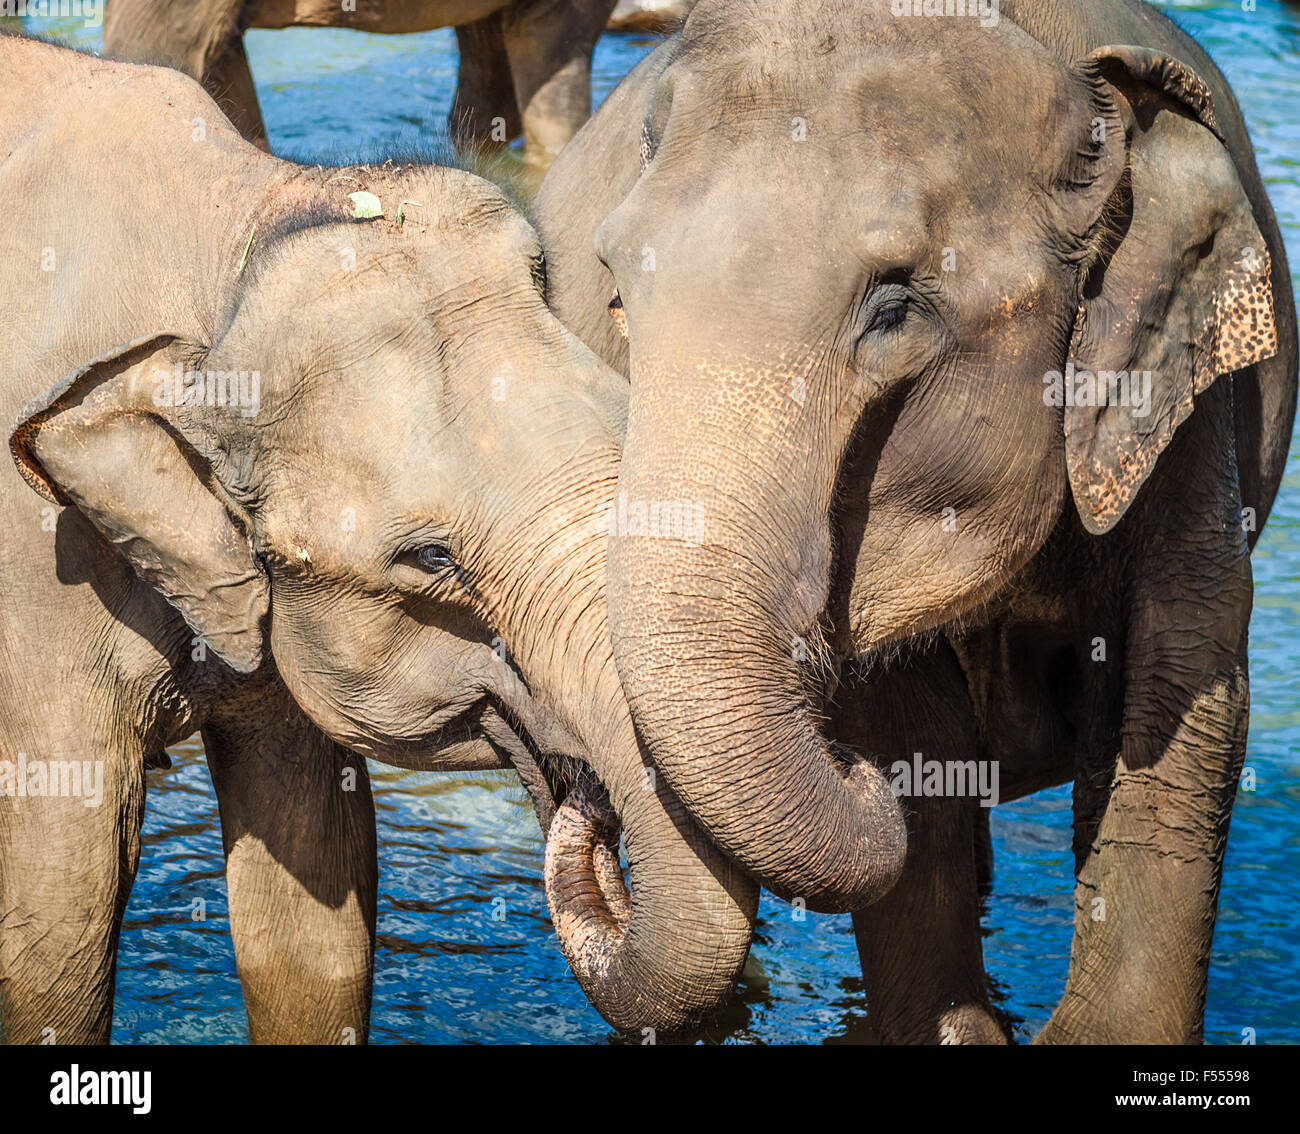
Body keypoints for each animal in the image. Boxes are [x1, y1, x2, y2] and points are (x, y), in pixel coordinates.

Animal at [0, 33, 757, 1045]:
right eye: (433, 559)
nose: (589, 806)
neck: (241, 234)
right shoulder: (38, 585)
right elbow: (57, 927)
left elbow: (315, 902)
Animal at [534, 0, 1298, 1042]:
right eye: (616, 294)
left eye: (895, 306)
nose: (587, 804)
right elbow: (913, 732)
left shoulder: (1187, 414)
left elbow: (1182, 691)